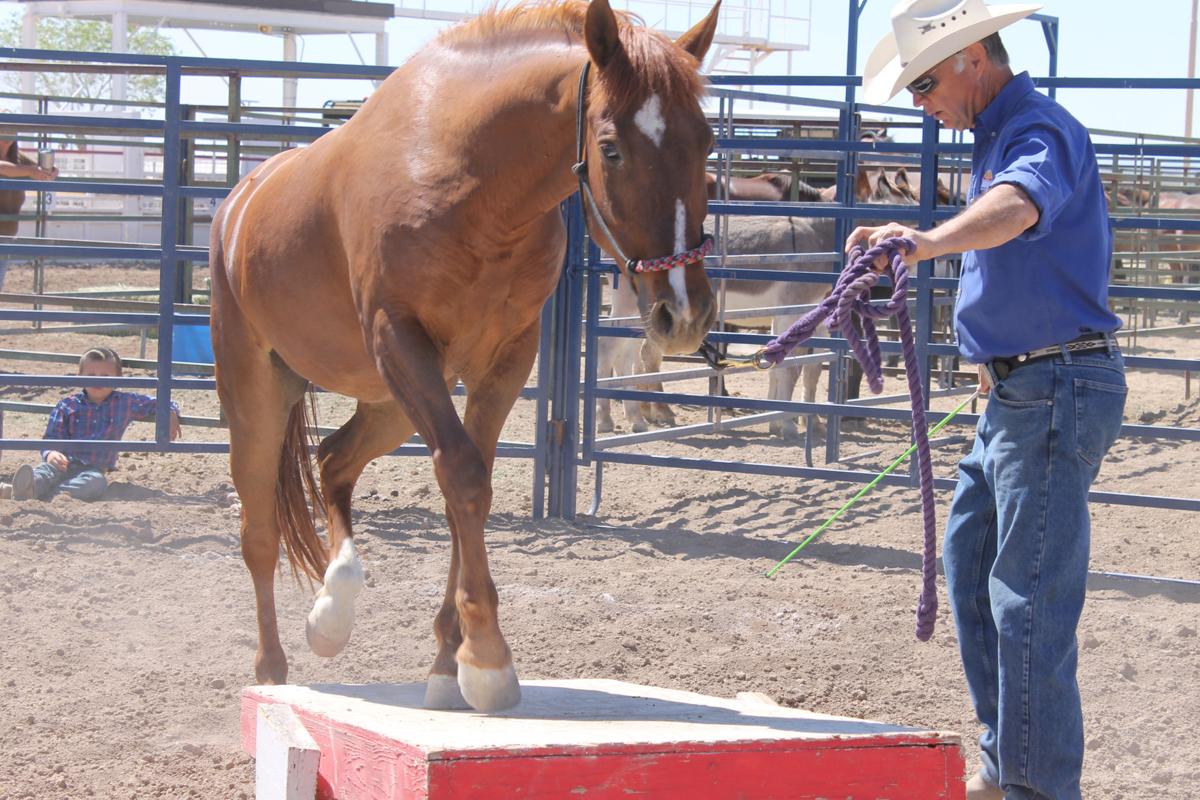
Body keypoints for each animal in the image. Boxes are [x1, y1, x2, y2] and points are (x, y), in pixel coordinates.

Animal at [210, 0, 721, 713]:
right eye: (612, 148)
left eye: (706, 142)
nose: (684, 312)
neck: (470, 186)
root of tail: (241, 201)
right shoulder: (400, 340)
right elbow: (464, 477)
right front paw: (487, 659)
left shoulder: (503, 359)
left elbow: (466, 489)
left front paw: (448, 664)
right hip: (262, 391)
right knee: (258, 530)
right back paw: (272, 667)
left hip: (389, 402)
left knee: (334, 460)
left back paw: (334, 606)